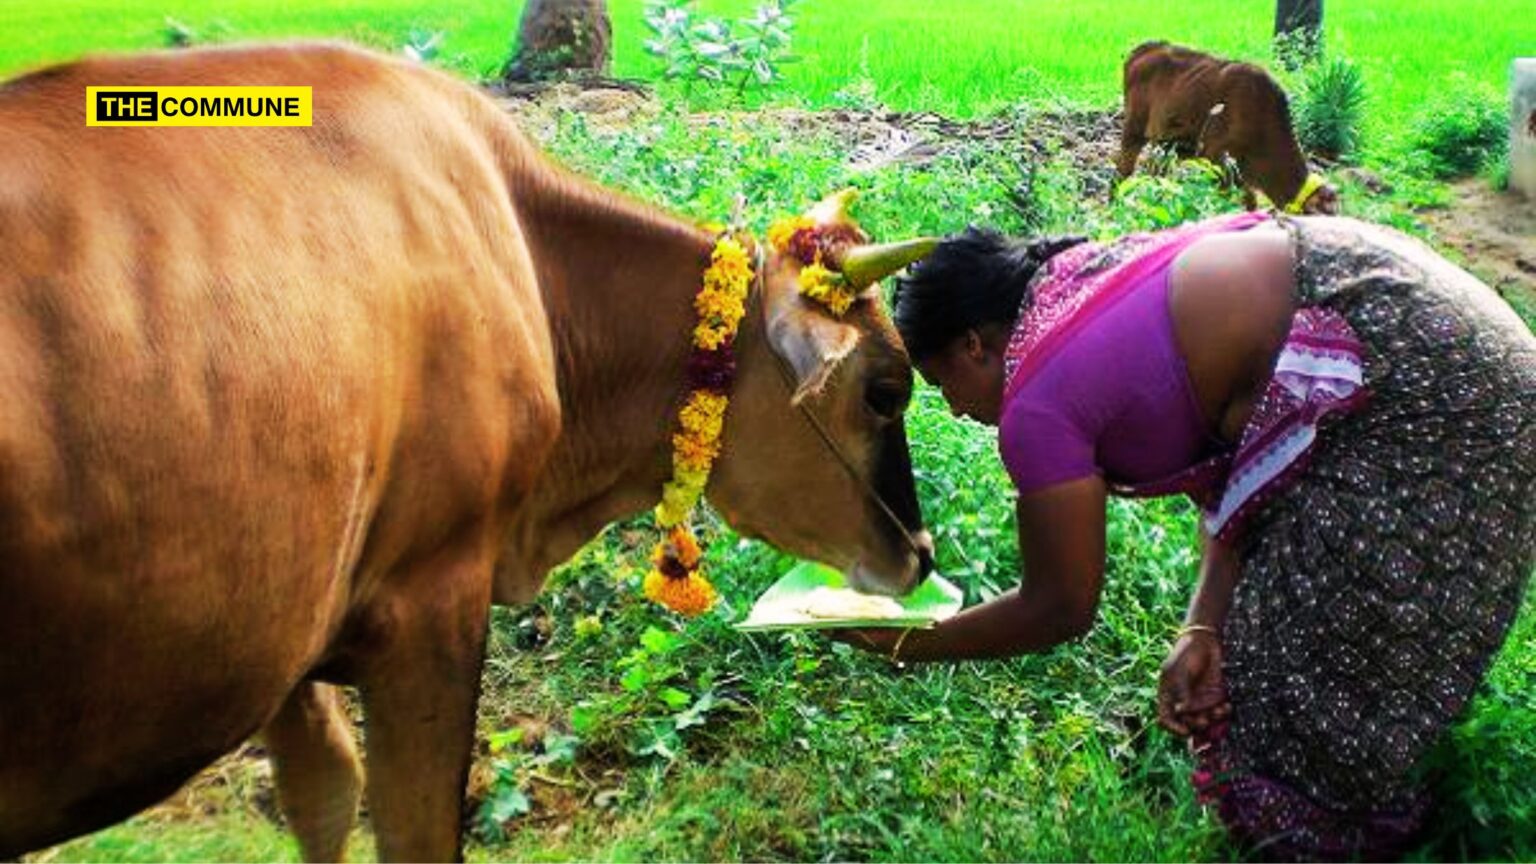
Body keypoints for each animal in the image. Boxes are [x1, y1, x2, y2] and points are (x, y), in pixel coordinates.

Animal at [0, 42, 934, 861]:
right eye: (885, 390)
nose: (919, 557)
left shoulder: (284, 625)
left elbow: (323, 794)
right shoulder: (430, 604)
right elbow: (410, 829)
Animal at [1115, 40, 1339, 215]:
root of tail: (1145, 48)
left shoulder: (1242, 167)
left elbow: (1249, 200)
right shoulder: (1213, 153)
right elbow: (1228, 192)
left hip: (1165, 144)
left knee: (1156, 171)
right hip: (1133, 130)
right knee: (1123, 170)